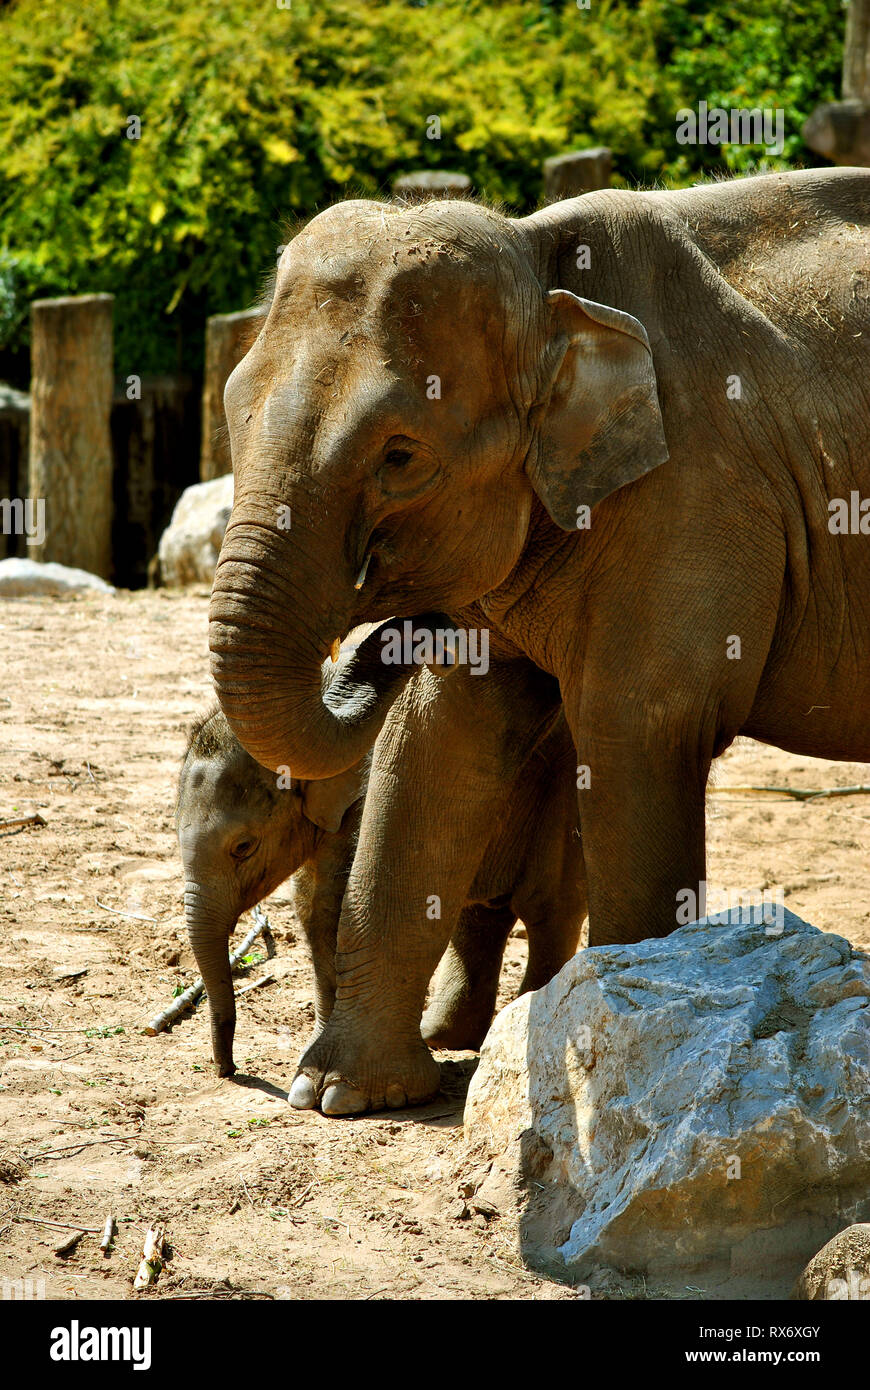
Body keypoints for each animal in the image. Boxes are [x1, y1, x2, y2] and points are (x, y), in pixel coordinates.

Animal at [176, 645, 582, 1078]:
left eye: (243, 847)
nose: (228, 1069)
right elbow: (312, 906)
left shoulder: (359, 798)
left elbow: (331, 904)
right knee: (480, 912)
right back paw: (444, 1037)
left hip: (561, 794)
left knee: (549, 910)